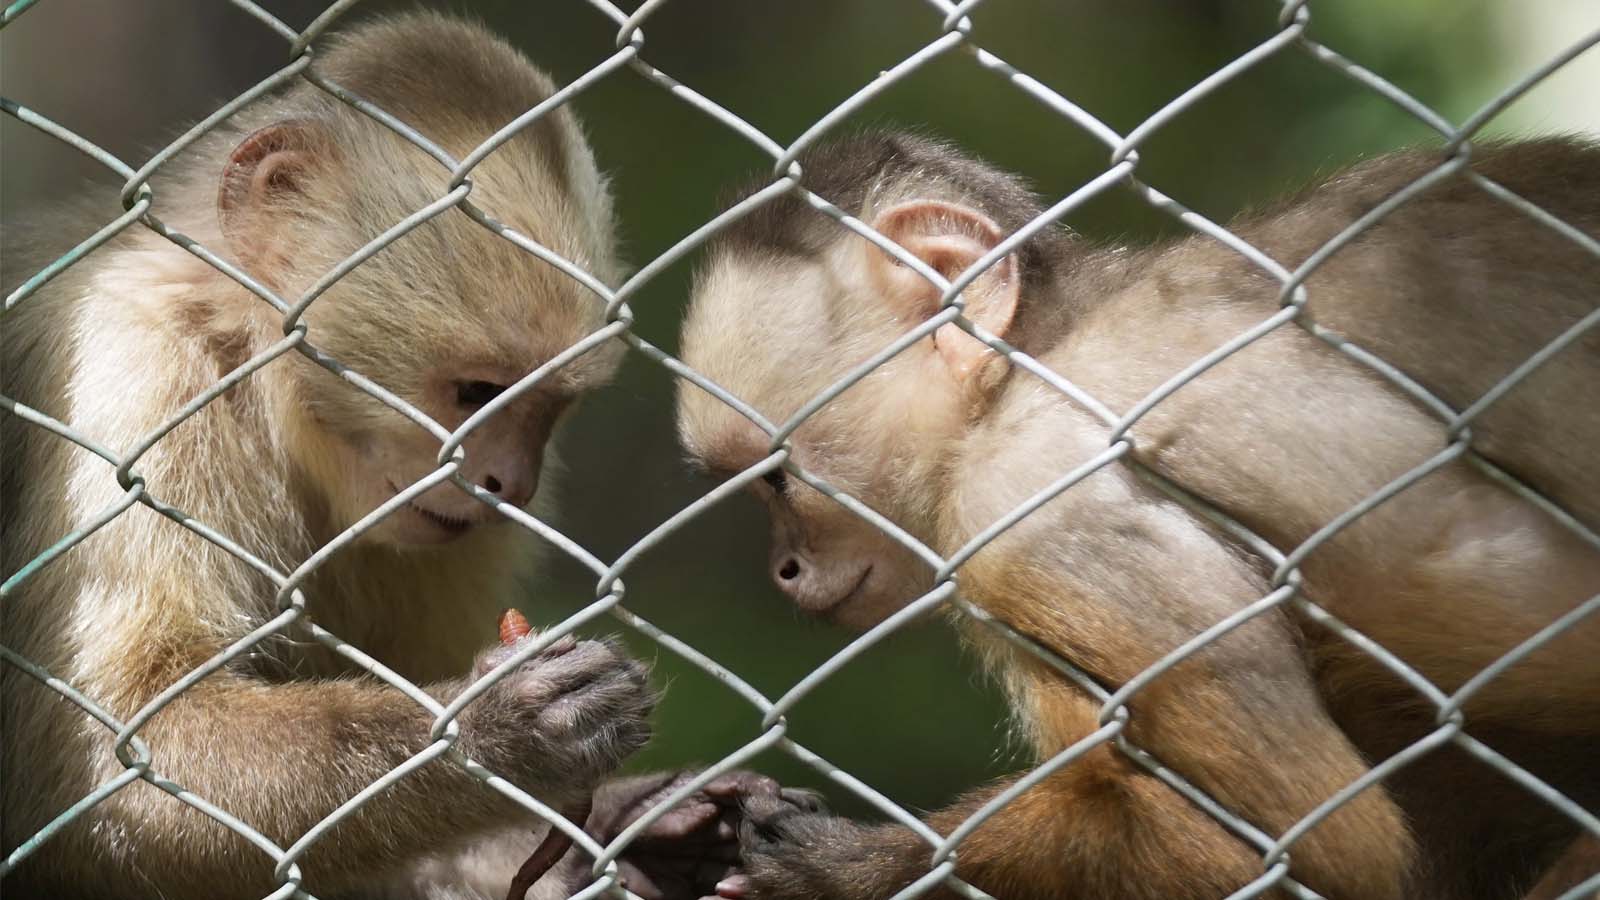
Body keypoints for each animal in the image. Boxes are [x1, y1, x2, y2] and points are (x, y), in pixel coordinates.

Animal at [0, 12, 761, 900]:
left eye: (547, 407)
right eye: (476, 392)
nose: (509, 483)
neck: (248, 367)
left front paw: (625, 827)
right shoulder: (129, 362)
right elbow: (114, 766)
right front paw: (500, 731)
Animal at [676, 131, 1600, 900]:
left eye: (775, 483)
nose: (782, 569)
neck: (1037, 365)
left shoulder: (1036, 504)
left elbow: (1334, 849)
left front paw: (845, 868)